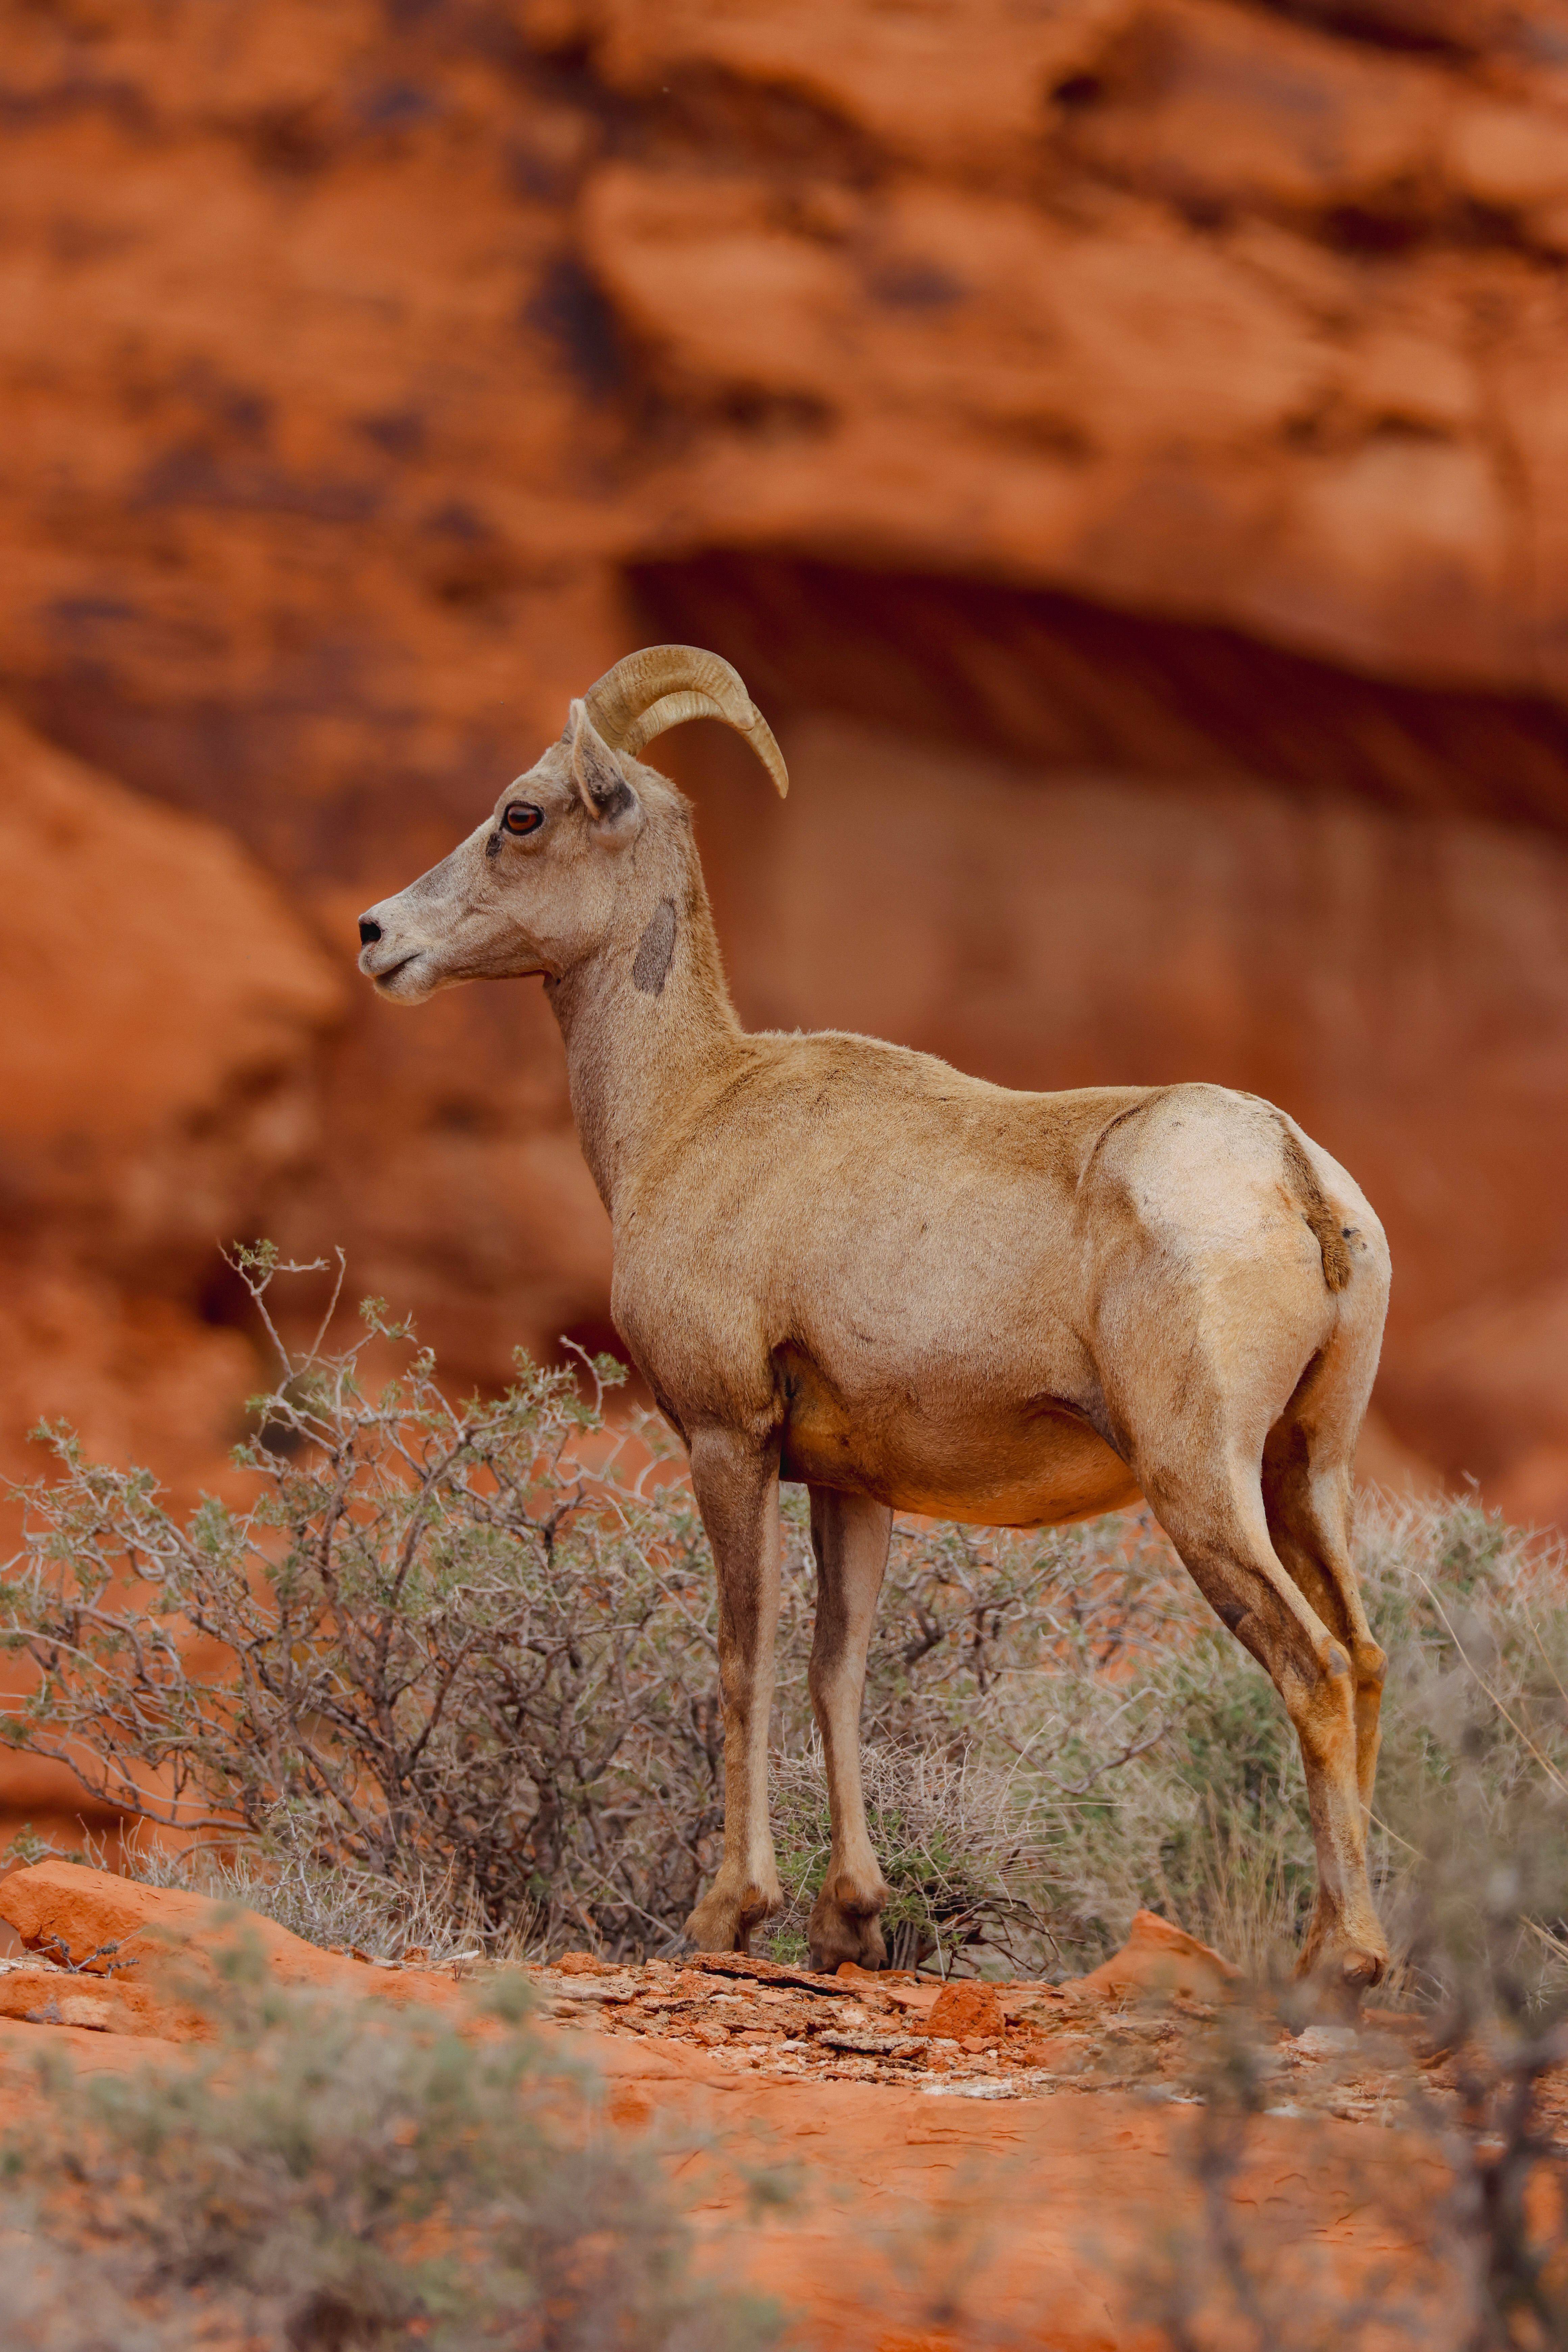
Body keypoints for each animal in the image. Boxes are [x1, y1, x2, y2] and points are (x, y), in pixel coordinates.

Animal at [357, 644, 1392, 2005]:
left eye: (520, 815)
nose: (376, 934)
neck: (682, 1110)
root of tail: (1292, 1170)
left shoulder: (727, 1436)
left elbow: (742, 1657)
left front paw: (729, 1911)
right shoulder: (854, 1487)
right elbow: (834, 1671)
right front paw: (845, 1920)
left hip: (1199, 1482)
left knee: (1310, 1667)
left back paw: (1338, 1962)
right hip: (1303, 1472)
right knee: (1363, 1660)